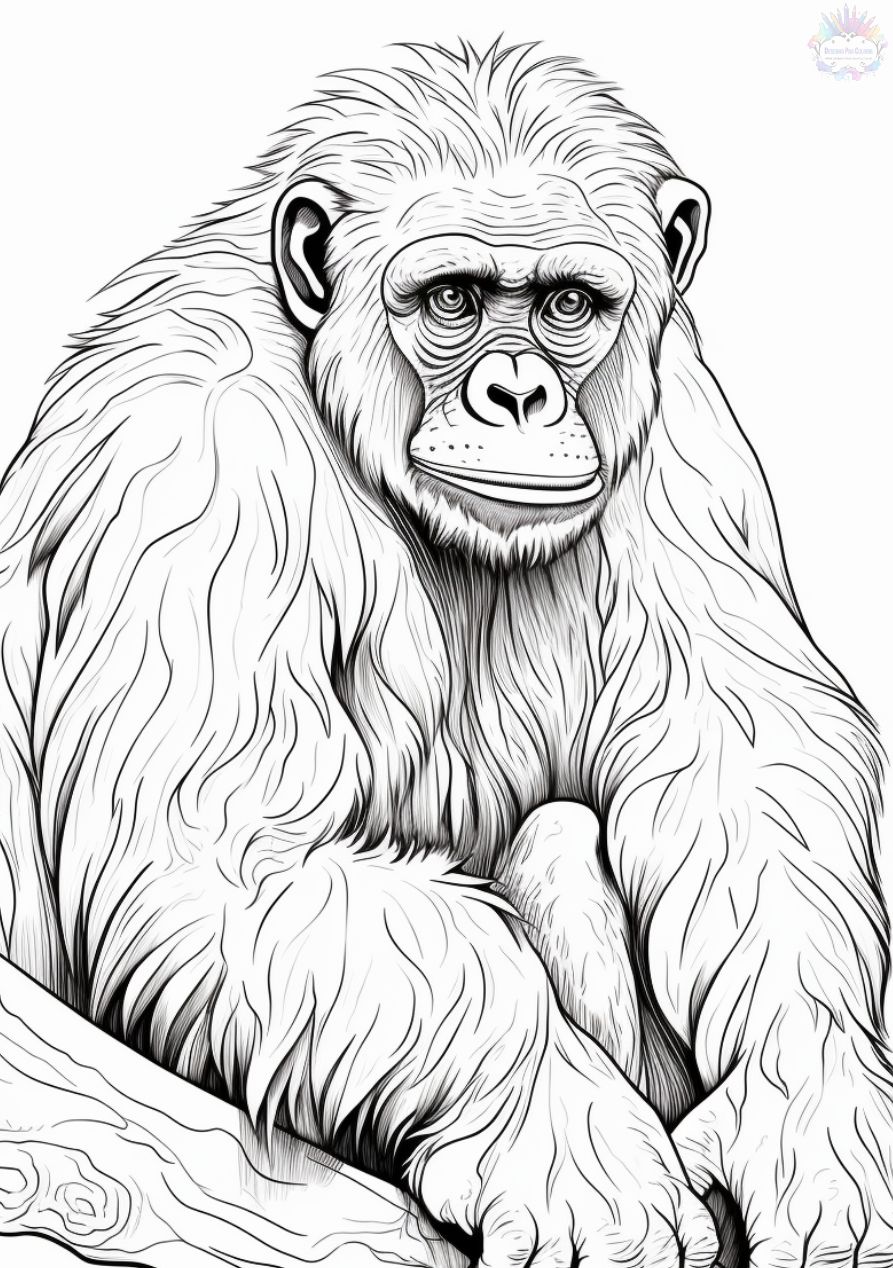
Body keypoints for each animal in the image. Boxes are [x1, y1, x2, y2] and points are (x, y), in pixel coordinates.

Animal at [0, 38, 890, 1268]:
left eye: (567, 303)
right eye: (454, 297)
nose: (516, 392)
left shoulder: (682, 424)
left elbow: (740, 752)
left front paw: (809, 1112)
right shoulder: (191, 462)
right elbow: (221, 864)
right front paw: (568, 1140)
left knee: (565, 833)